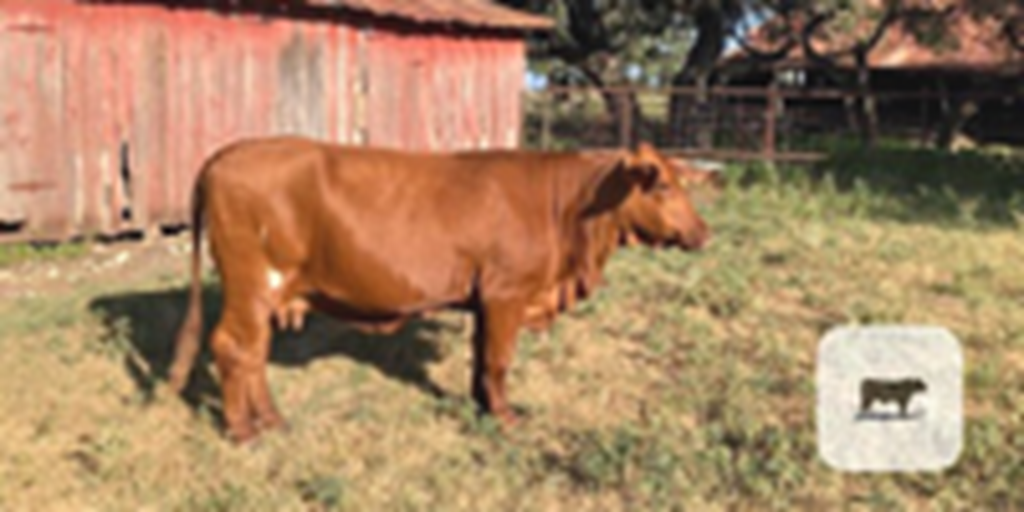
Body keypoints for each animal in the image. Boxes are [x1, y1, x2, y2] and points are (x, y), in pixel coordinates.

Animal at [168, 136, 712, 444]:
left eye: (681, 184)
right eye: (662, 186)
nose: (703, 232)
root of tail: (228, 153)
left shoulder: (485, 299)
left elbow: (480, 357)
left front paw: (481, 406)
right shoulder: (506, 293)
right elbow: (498, 360)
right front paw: (506, 420)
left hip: (265, 293)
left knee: (254, 352)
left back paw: (273, 421)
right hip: (250, 283)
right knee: (233, 347)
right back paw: (243, 432)